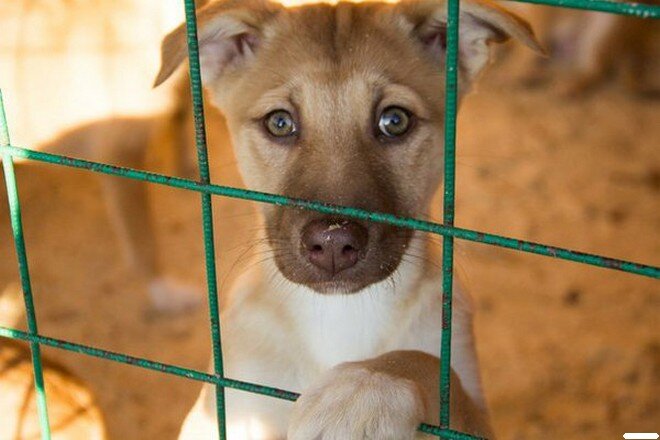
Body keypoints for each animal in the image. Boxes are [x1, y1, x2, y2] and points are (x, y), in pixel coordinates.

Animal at [151, 0, 540, 436]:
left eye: (395, 120)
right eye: (279, 123)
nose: (334, 242)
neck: (339, 315)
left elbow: (429, 365)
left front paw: (366, 388)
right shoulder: (222, 406)